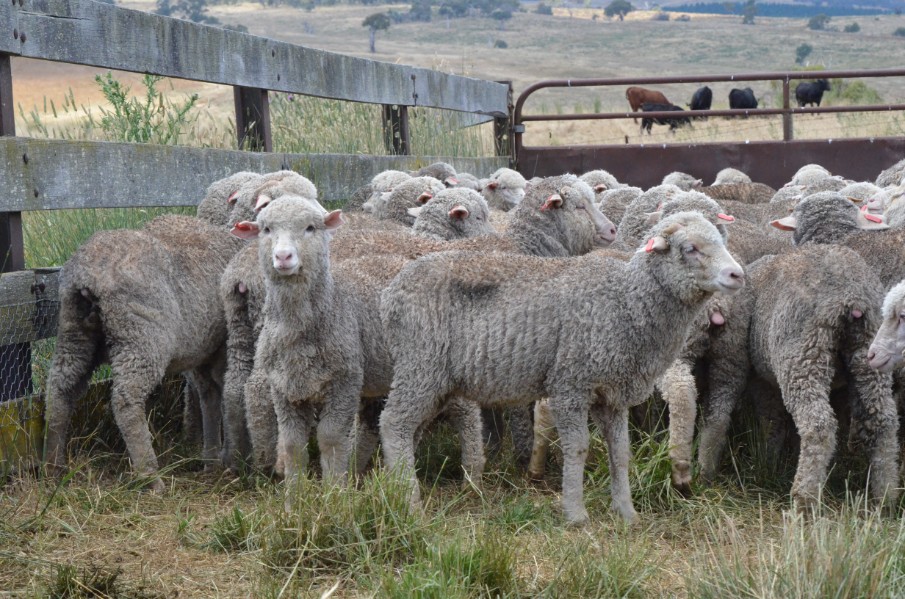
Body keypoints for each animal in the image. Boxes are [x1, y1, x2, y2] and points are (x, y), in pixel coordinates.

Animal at [43, 215, 245, 491]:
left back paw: (54, 466)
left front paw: (212, 458)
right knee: (126, 401)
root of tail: (88, 274)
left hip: (74, 333)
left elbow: (209, 396)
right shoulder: (222, 349)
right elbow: (223, 394)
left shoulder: (203, 351)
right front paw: (226, 457)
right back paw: (150, 476)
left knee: (59, 390)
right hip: (141, 338)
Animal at [378, 211, 745, 524]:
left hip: (434, 378)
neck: (625, 301)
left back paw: (395, 490)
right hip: (421, 364)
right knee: (394, 423)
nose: (737, 274)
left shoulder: (611, 395)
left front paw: (627, 513)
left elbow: (620, 452)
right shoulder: (570, 384)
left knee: (409, 428)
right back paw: (409, 505)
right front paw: (575, 512)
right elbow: (578, 447)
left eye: (721, 240)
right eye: (690, 248)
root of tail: (392, 292)